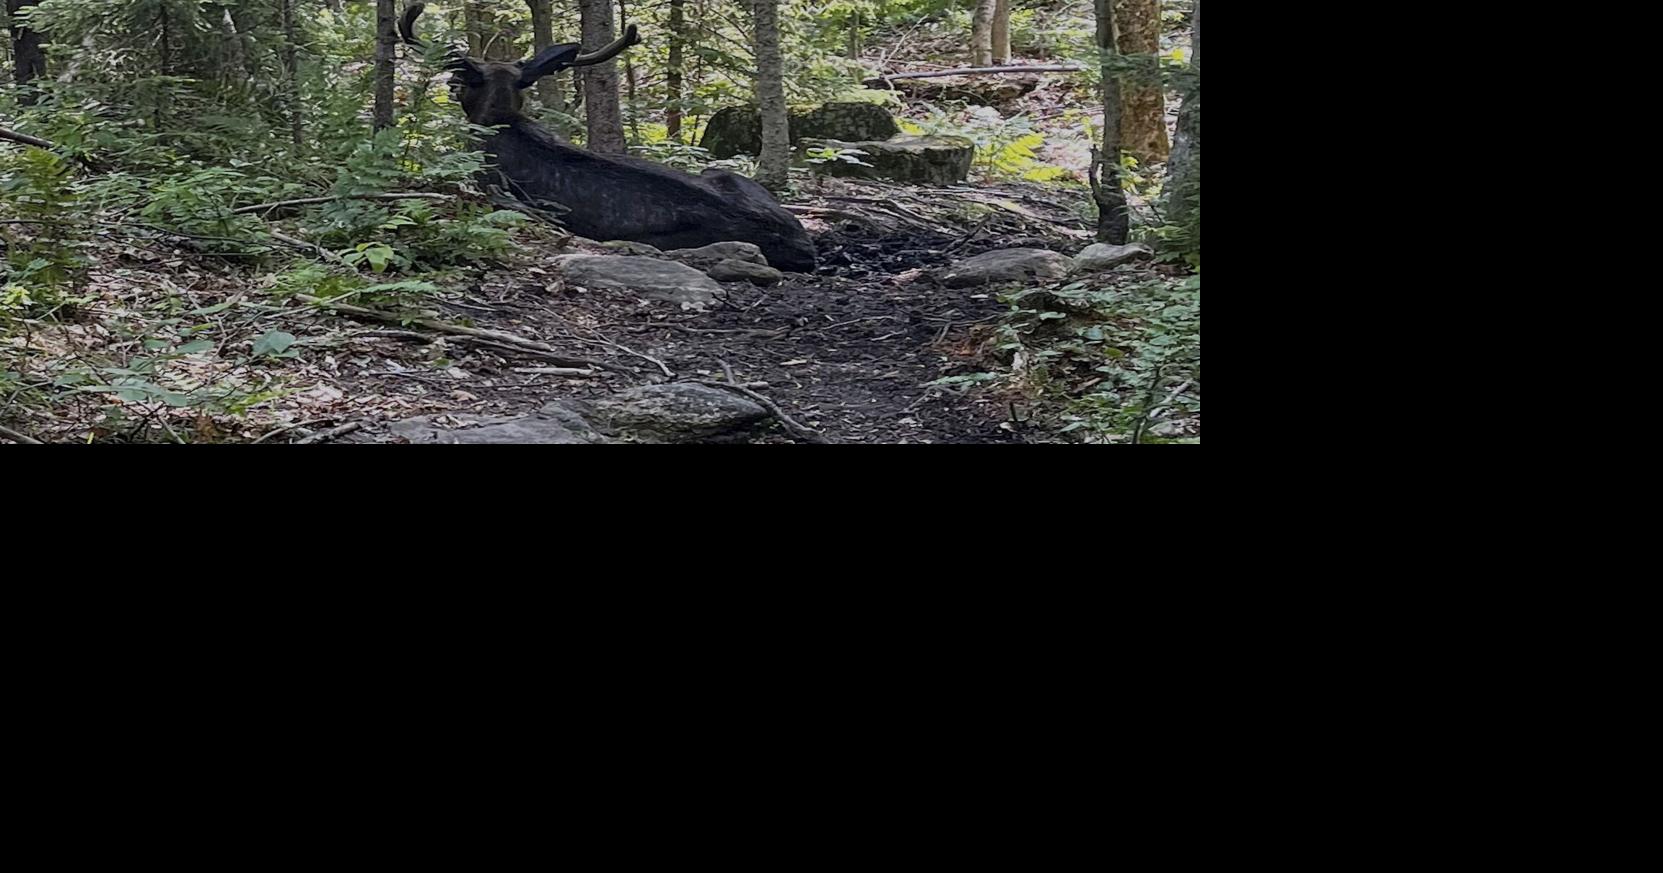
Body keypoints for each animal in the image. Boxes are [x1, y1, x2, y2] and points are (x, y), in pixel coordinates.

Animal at [399, 3, 817, 273]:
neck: (500, 122)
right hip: (723, 173)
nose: (450, 84)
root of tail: (803, 245)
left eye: (465, 81)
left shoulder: (489, 183)